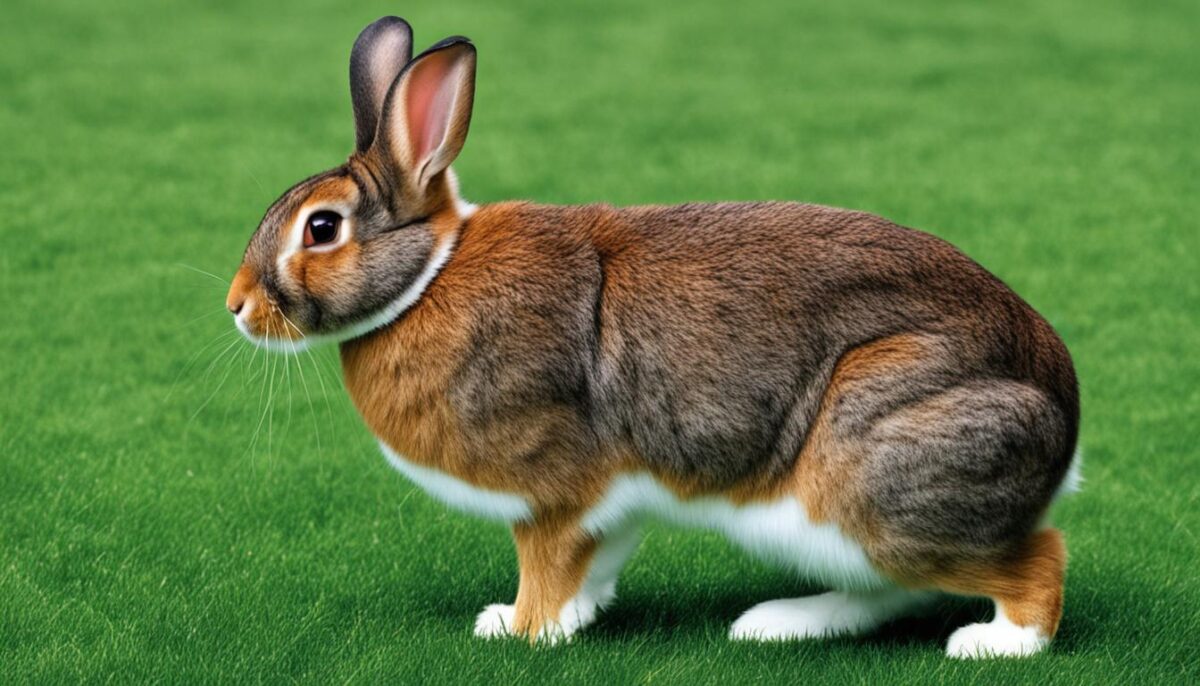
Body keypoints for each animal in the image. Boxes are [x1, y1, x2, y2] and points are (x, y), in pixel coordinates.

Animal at [225, 16, 1080, 658]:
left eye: (322, 227)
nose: (236, 306)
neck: (427, 278)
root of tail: (1063, 416)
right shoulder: (608, 505)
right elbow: (594, 566)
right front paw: (559, 623)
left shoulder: (553, 489)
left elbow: (547, 565)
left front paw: (520, 631)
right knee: (897, 587)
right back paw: (776, 624)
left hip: (867, 475)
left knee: (1035, 564)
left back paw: (990, 643)